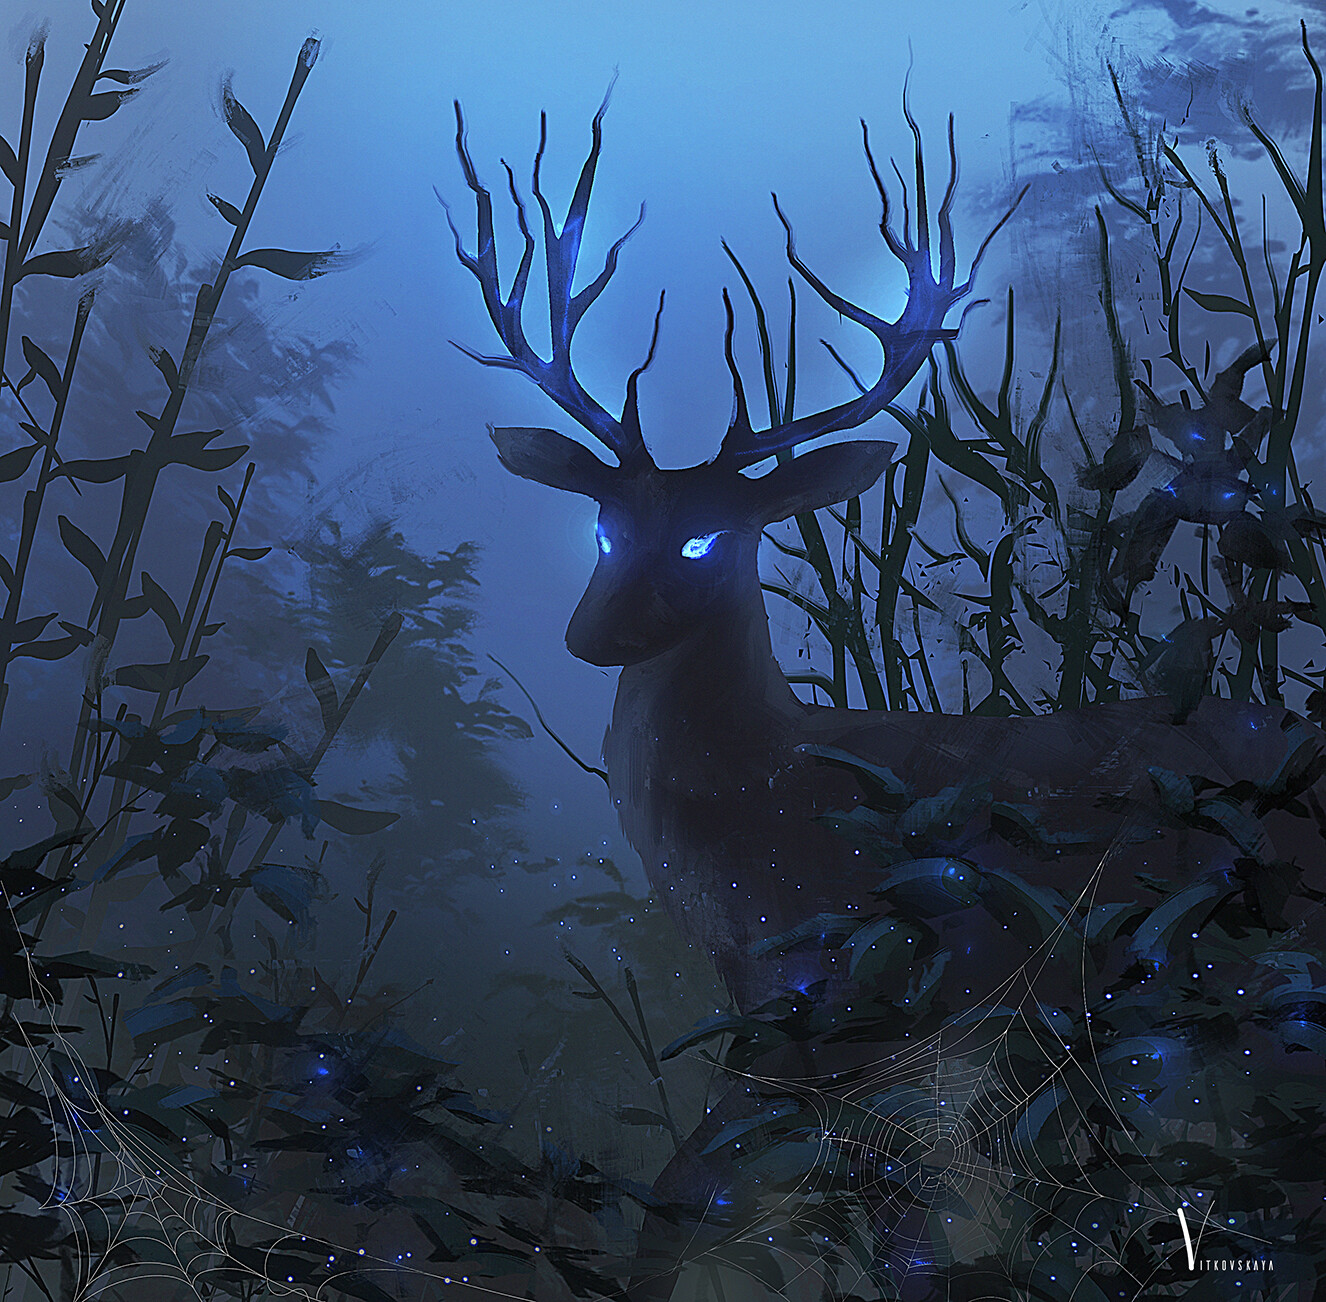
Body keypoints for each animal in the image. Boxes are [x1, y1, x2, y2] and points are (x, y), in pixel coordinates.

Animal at [441, 93, 1326, 1300]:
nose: (592, 637)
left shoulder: (852, 1000)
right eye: (602, 527)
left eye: (711, 539)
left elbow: (699, 1204)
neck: (753, 812)